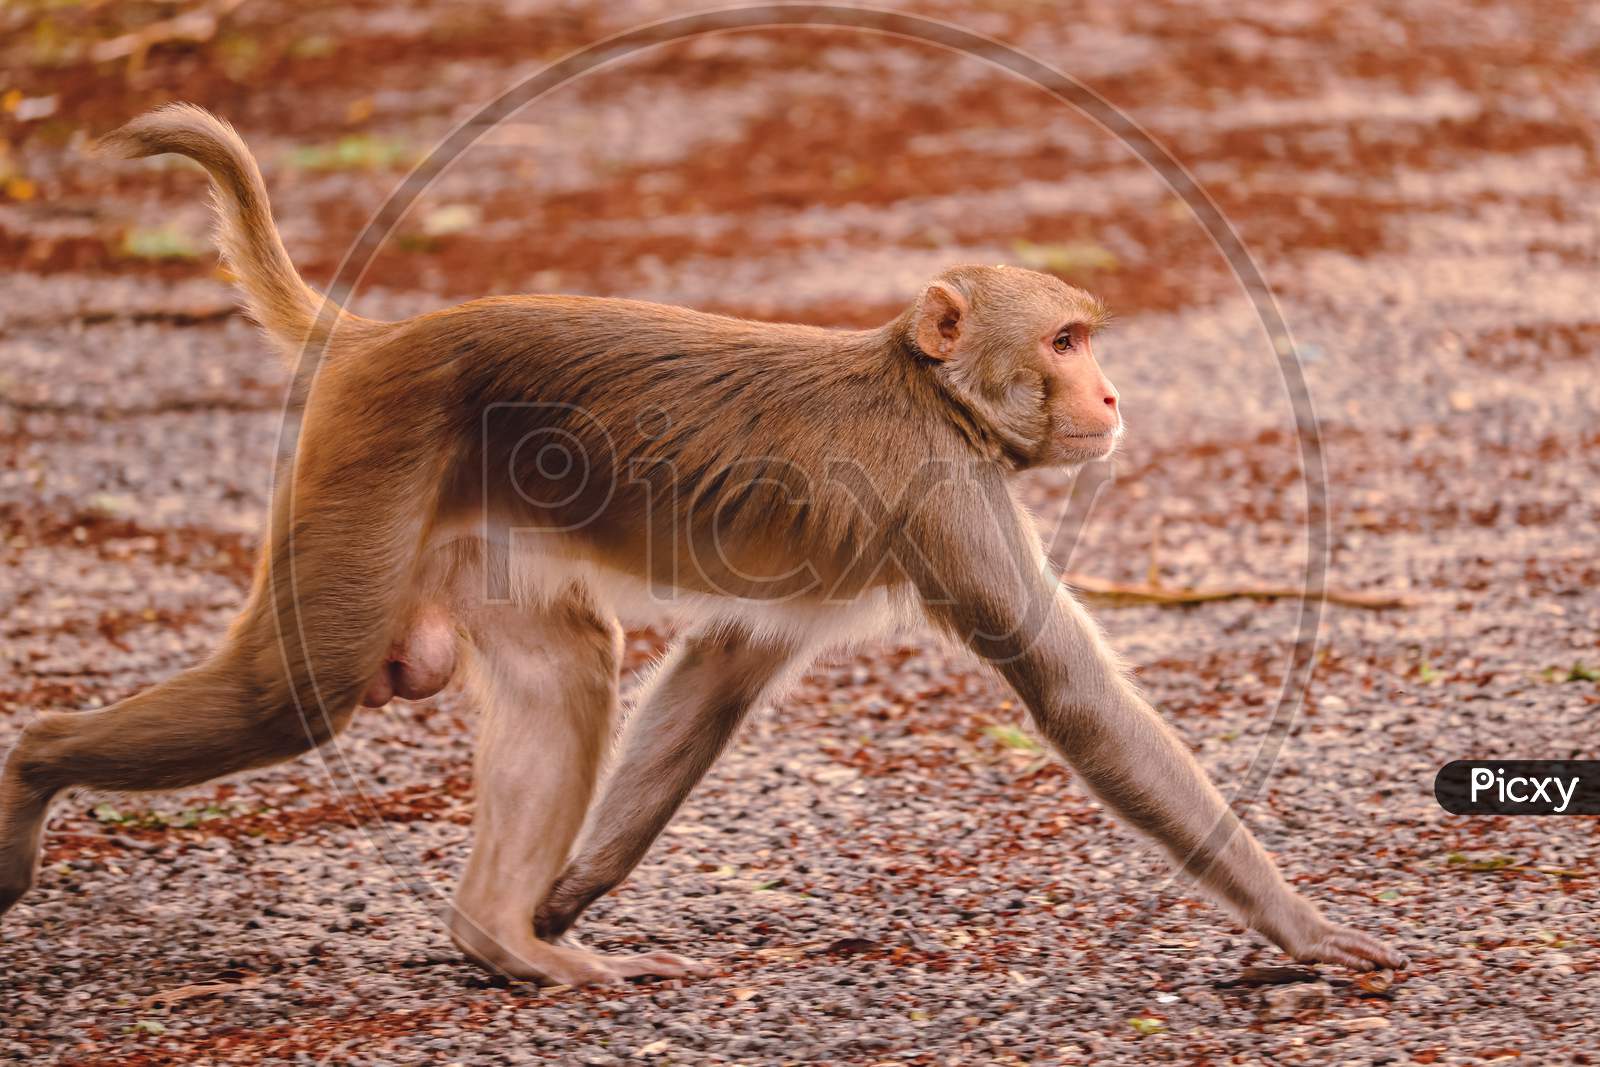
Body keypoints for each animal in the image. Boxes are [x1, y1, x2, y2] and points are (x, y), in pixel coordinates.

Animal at [0, 105, 1406, 986]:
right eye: (1065, 341)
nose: (1109, 393)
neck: (935, 394)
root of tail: (378, 334)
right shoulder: (944, 493)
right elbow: (1070, 691)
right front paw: (1302, 925)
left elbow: (721, 669)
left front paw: (573, 885)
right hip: (373, 460)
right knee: (292, 692)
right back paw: (34, 768)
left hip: (462, 517)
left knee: (568, 663)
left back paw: (508, 938)